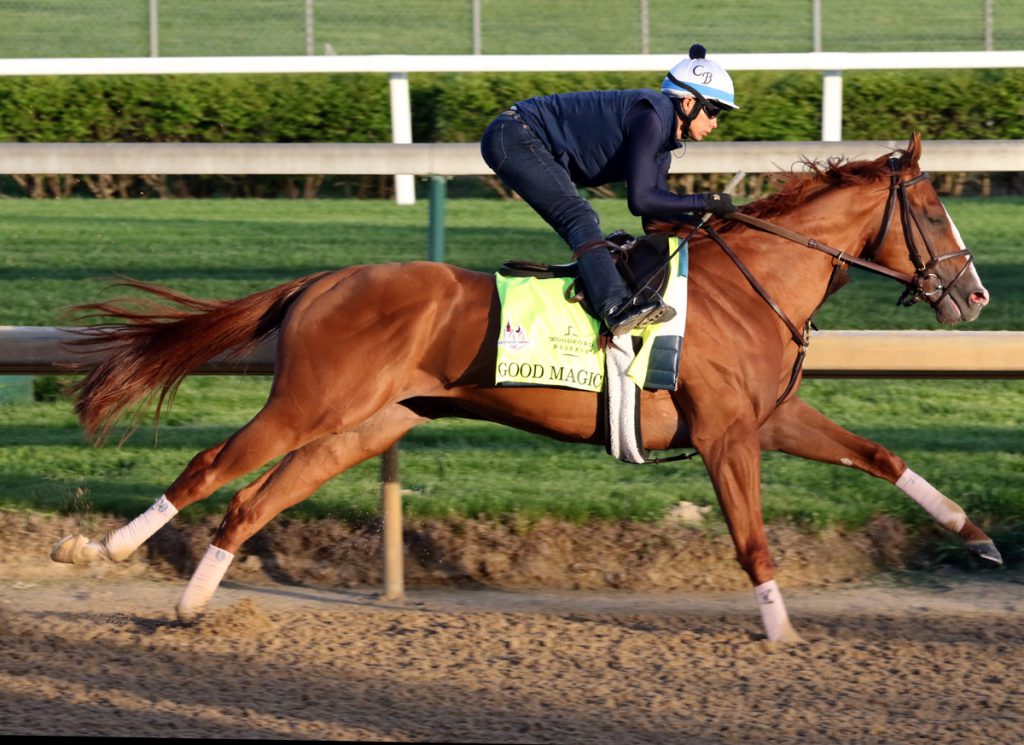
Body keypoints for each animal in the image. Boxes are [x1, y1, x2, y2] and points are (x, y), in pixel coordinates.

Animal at [51, 133, 999, 642]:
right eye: (934, 212)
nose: (976, 294)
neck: (750, 283)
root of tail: (324, 279)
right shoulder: (727, 433)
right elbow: (752, 539)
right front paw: (781, 628)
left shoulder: (770, 415)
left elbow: (877, 454)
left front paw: (977, 533)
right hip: (309, 404)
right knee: (213, 466)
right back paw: (101, 550)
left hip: (368, 423)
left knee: (257, 500)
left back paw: (191, 602)